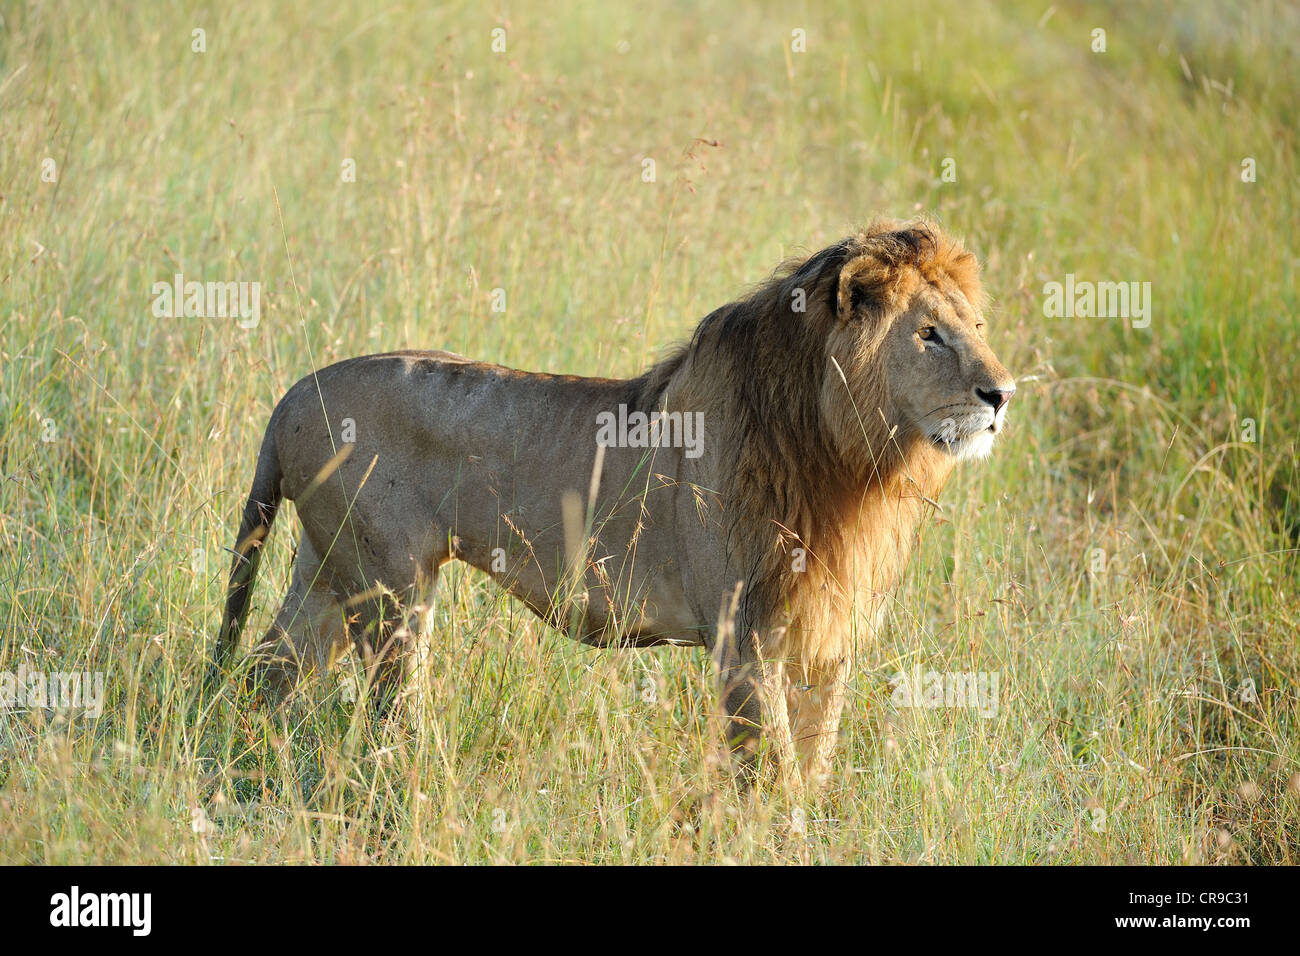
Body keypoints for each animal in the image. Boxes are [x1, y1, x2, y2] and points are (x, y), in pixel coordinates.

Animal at [211, 218, 1015, 790]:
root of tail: (290, 398)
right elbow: (777, 777)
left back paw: (237, 757)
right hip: (391, 590)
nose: (1003, 394)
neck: (847, 457)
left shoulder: (824, 637)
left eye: (977, 329)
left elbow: (814, 766)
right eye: (930, 334)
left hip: (329, 571)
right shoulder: (746, 636)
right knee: (387, 715)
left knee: (266, 672)